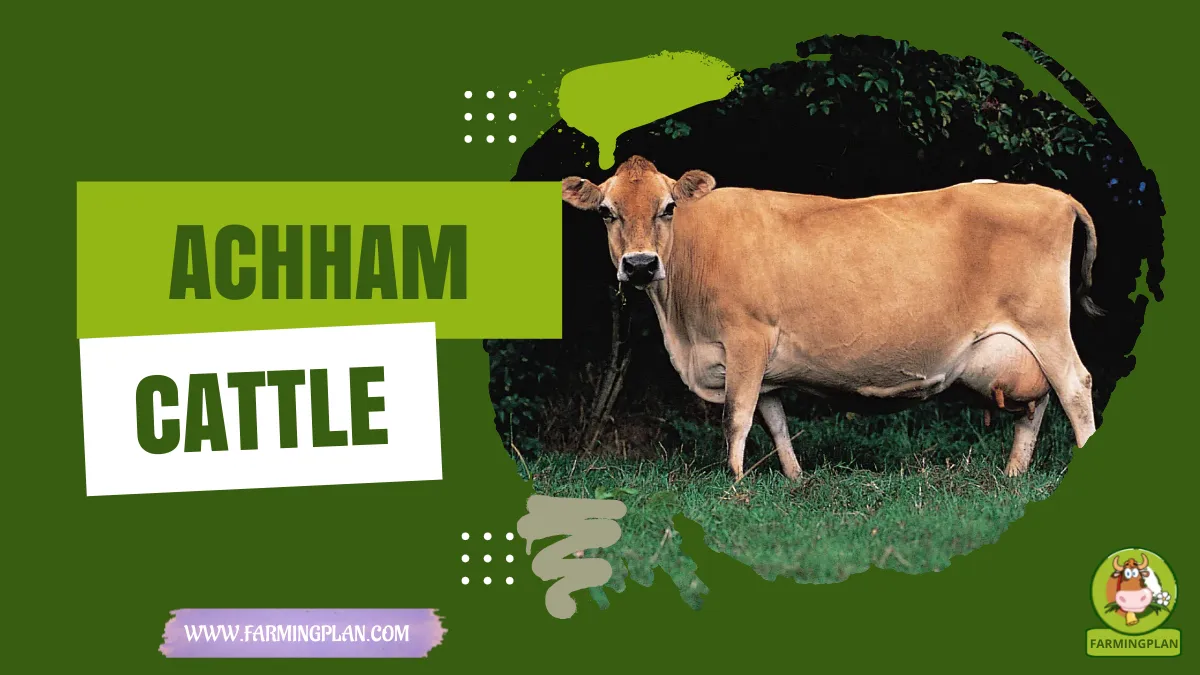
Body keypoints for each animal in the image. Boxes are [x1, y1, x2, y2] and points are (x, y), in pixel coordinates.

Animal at [561, 156, 1101, 480]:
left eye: (669, 207)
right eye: (606, 211)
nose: (640, 265)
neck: (683, 329)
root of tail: (1052, 194)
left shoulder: (747, 337)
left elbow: (736, 416)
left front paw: (734, 482)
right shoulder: (764, 363)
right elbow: (774, 420)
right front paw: (795, 479)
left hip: (1046, 326)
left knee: (1075, 387)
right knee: (1037, 404)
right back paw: (1013, 474)